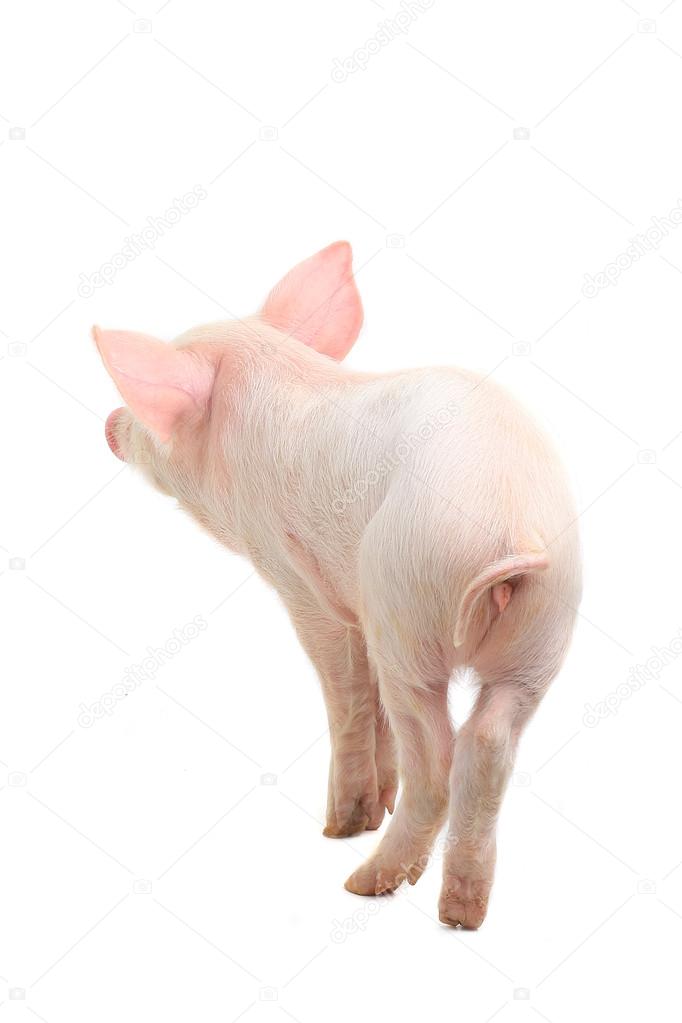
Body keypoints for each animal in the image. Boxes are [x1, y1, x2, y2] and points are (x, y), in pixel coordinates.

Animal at [95, 240, 581, 928]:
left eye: (147, 415)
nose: (109, 422)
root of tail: (509, 524)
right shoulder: (358, 606)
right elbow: (370, 703)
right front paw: (375, 802)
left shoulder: (299, 577)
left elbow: (346, 687)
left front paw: (342, 825)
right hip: (543, 635)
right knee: (490, 744)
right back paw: (461, 914)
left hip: (406, 604)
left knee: (438, 755)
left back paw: (363, 881)